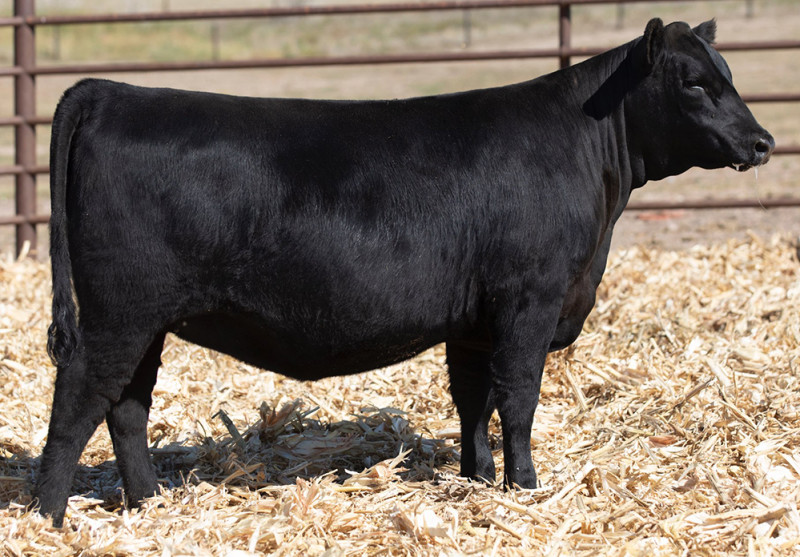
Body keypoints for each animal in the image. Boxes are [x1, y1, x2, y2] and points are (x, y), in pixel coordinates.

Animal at [37, 18, 773, 526]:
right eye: (695, 82)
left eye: (729, 74)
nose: (763, 141)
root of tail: (110, 91)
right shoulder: (528, 301)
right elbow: (519, 398)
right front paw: (525, 486)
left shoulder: (475, 319)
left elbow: (473, 399)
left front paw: (476, 479)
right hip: (118, 312)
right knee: (78, 402)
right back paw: (47, 516)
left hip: (145, 319)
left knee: (126, 406)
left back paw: (147, 502)